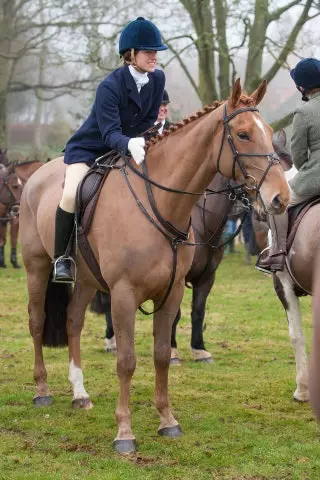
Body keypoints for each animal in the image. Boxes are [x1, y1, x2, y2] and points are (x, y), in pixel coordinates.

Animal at [19, 80, 290, 456]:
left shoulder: (173, 291)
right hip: (37, 268)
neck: (160, 203)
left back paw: (80, 393)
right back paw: (42, 390)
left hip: (86, 279)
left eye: (269, 133)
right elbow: (127, 360)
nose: (281, 198)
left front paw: (167, 420)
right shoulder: (123, 294)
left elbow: (162, 354)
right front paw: (124, 432)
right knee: (37, 321)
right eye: (244, 134)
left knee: (73, 322)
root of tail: (37, 173)